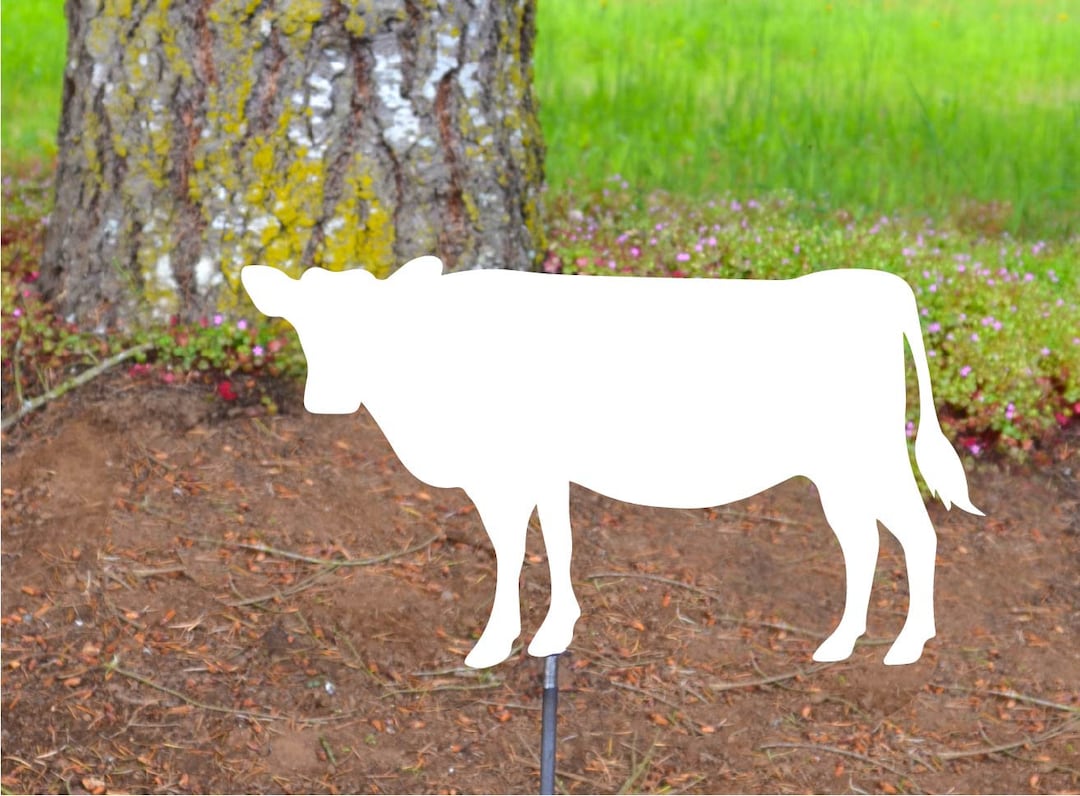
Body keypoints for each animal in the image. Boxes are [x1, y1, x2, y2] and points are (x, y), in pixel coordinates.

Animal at [241, 257, 982, 669]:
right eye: (301, 324)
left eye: (374, 324)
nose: (328, 398)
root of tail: (880, 286)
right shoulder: (547, 468)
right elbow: (559, 541)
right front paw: (555, 633)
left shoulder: (503, 471)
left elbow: (512, 549)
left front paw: (494, 644)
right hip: (837, 470)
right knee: (863, 543)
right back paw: (840, 643)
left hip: (868, 455)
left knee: (918, 535)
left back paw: (907, 645)